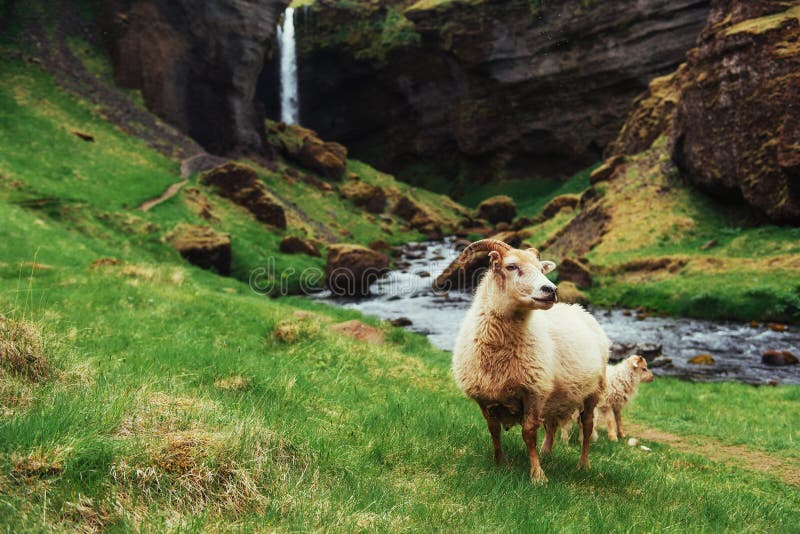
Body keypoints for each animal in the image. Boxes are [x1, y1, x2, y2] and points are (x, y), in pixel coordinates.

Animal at [451, 239, 610, 483]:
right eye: (511, 266)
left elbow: (528, 433)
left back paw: (583, 465)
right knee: (552, 424)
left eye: (541, 269)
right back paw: (547, 452)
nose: (551, 290)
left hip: (593, 390)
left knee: (587, 425)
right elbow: (493, 429)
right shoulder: (484, 397)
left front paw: (537, 475)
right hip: (555, 396)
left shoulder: (534, 391)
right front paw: (500, 462)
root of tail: (579, 309)